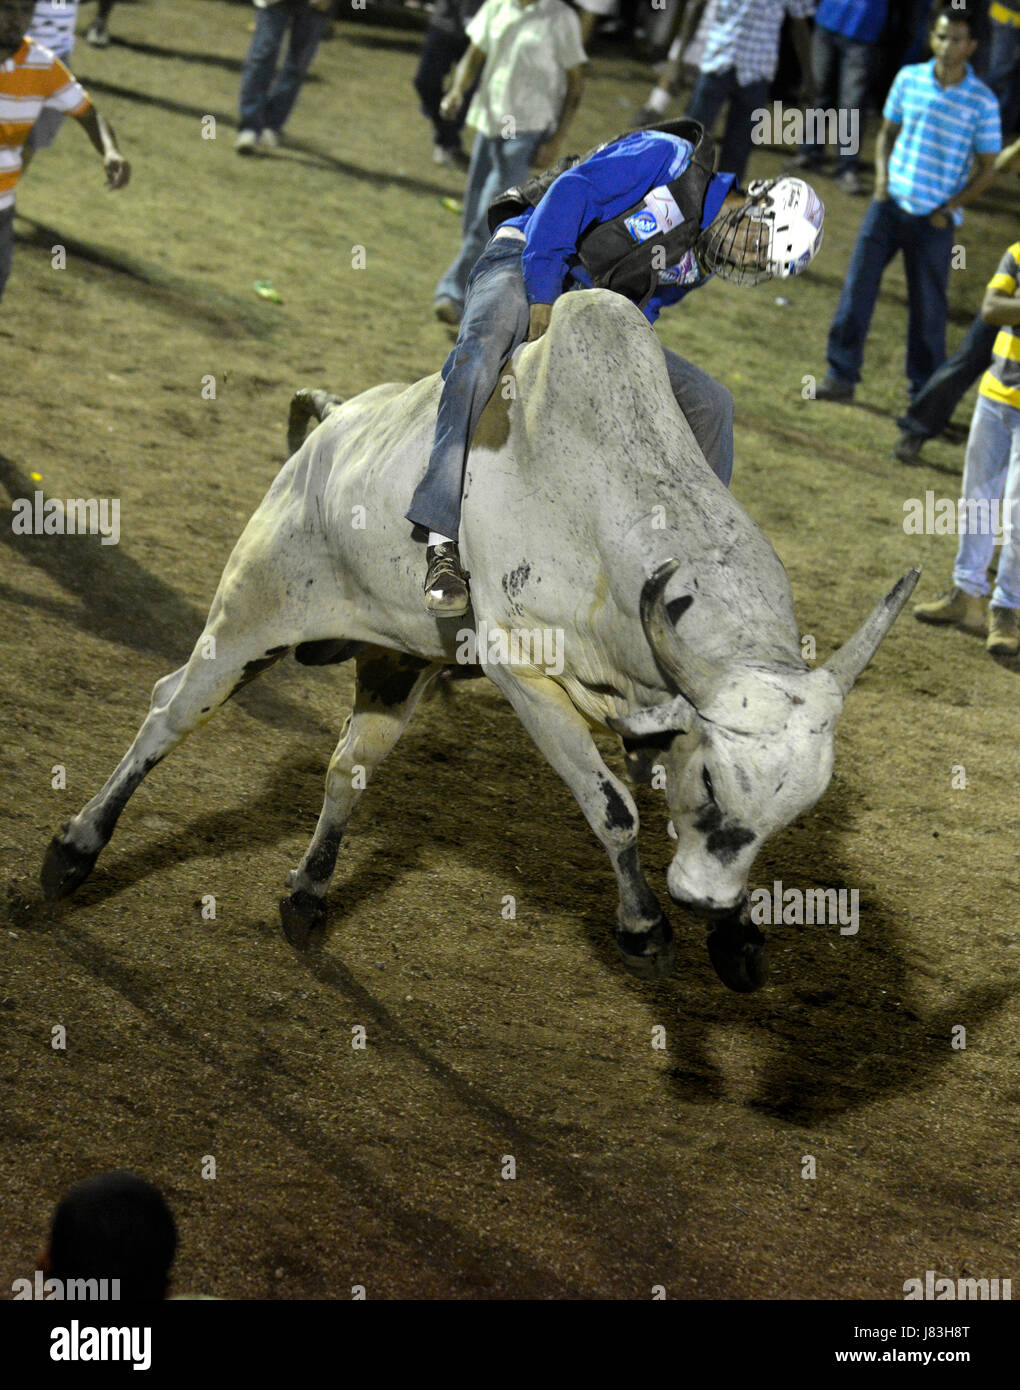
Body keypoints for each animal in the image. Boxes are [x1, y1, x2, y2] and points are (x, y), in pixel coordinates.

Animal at [40, 290, 918, 992]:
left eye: (798, 809)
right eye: (708, 778)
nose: (702, 898)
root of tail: (329, 430)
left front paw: (736, 938)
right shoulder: (525, 675)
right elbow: (613, 808)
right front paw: (644, 929)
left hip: (395, 665)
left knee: (348, 769)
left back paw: (307, 895)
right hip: (250, 616)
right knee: (170, 713)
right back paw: (74, 850)